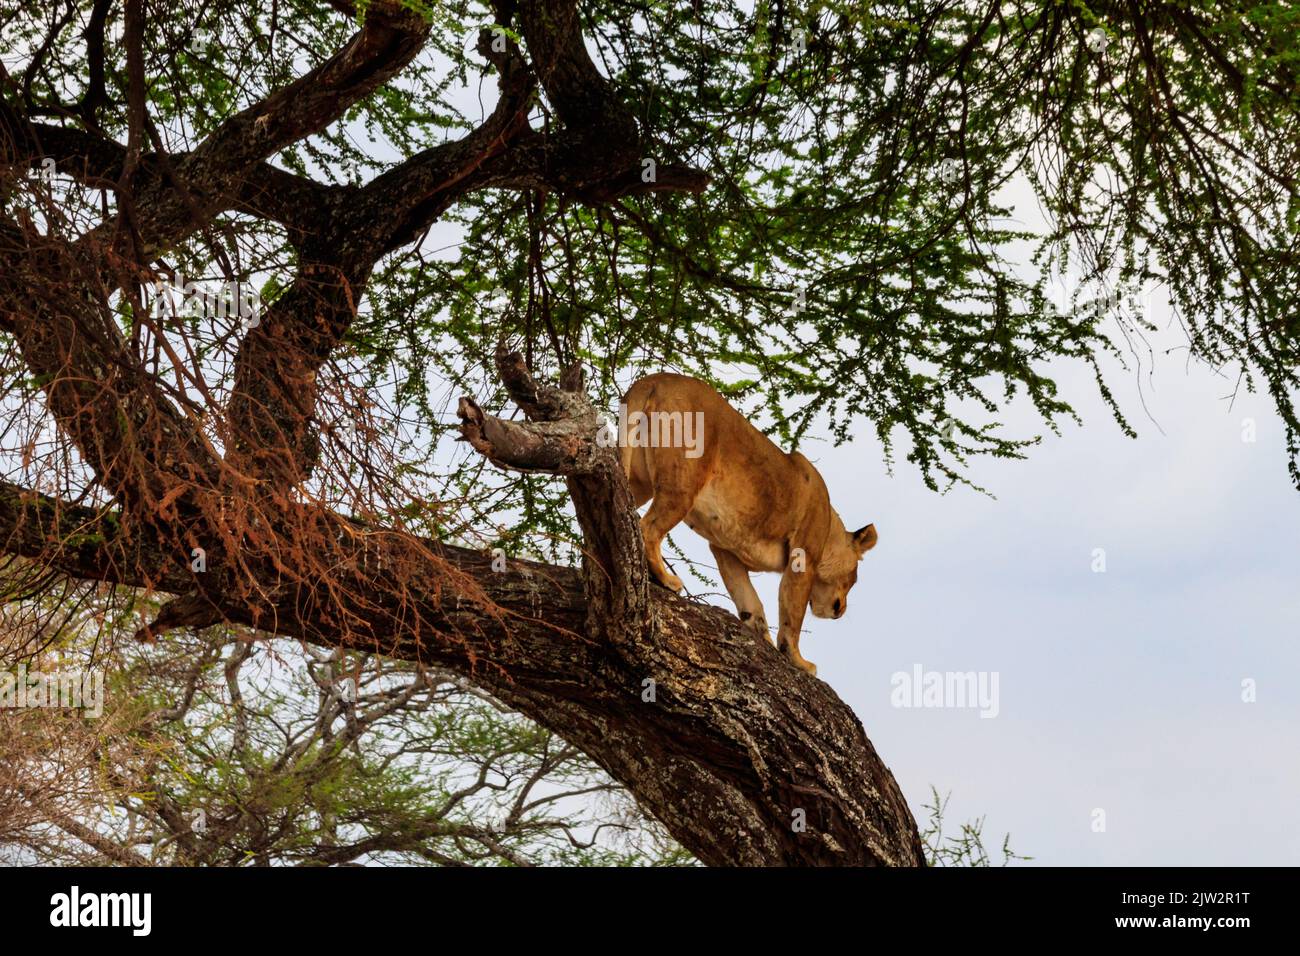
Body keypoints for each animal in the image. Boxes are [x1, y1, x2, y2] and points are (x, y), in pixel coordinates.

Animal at [618, 373, 877, 676]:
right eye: (853, 579)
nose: (841, 610)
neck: (831, 533)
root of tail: (654, 379)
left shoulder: (725, 549)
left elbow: (748, 597)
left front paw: (761, 636)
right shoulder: (802, 556)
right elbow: (792, 615)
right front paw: (798, 661)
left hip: (638, 482)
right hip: (682, 485)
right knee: (647, 529)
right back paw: (667, 579)